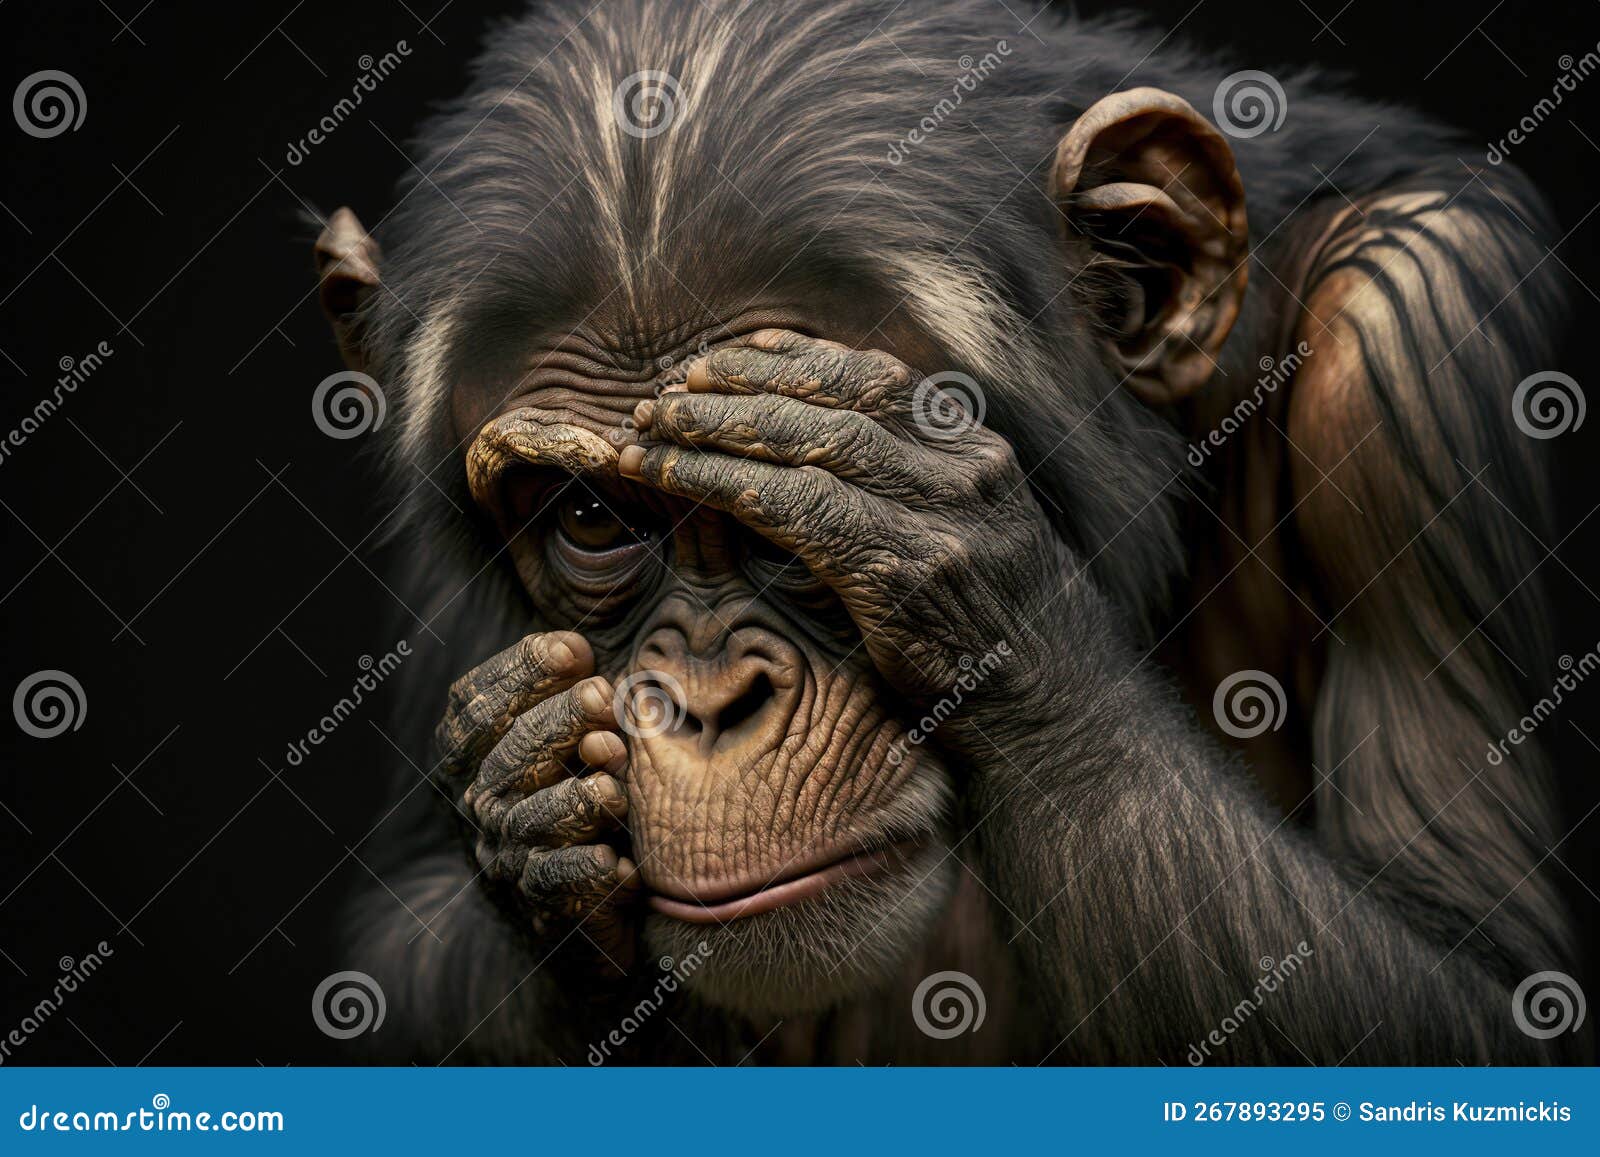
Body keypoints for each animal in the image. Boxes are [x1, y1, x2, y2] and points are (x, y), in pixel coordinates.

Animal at [312, 0, 1586, 1064]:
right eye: (590, 516)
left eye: (788, 485)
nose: (707, 699)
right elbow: (398, 941)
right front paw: (524, 813)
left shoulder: (1421, 334)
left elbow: (1490, 988)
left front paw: (961, 588)